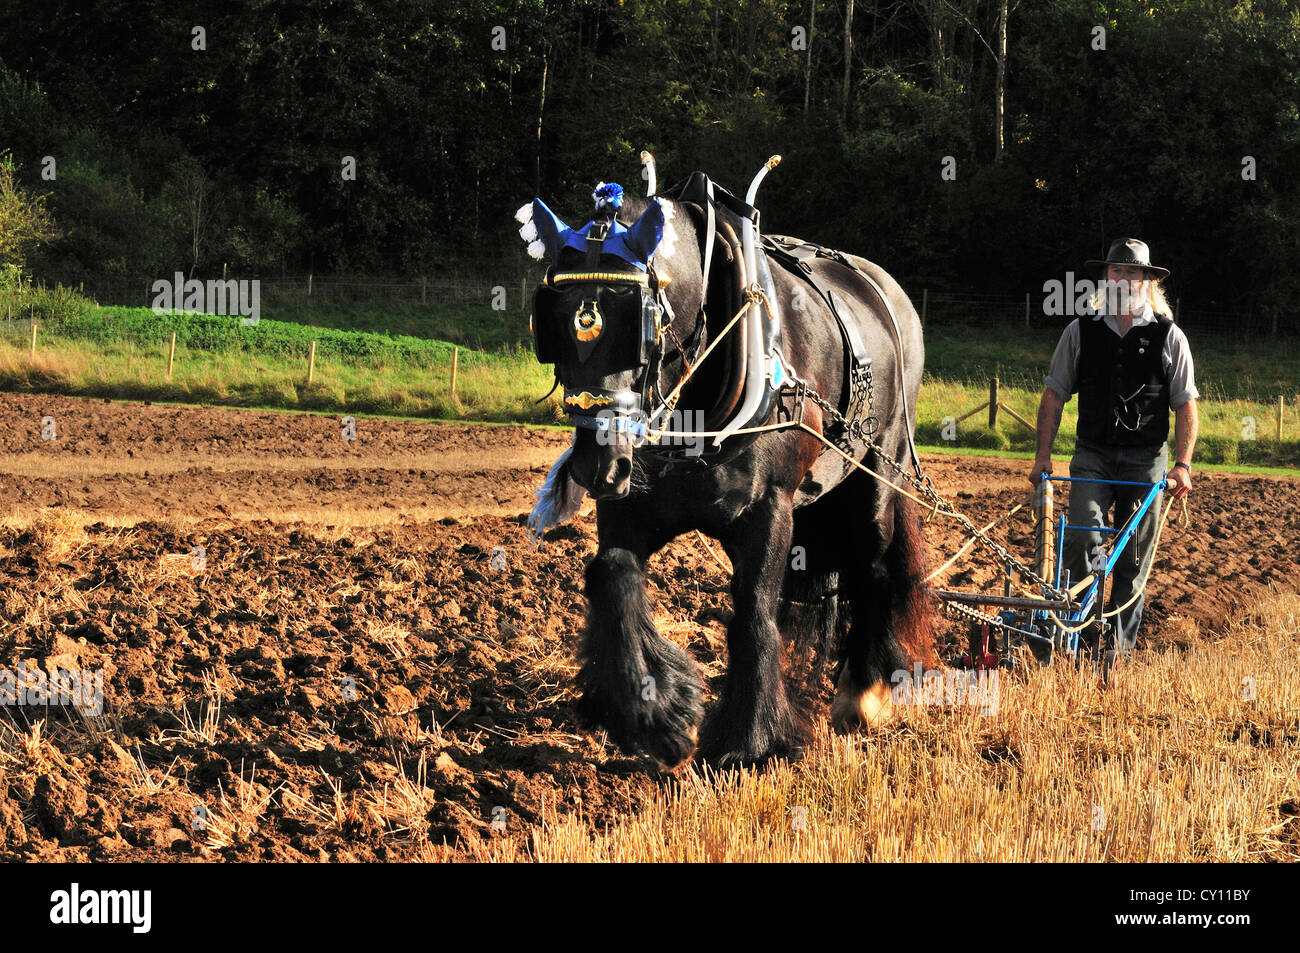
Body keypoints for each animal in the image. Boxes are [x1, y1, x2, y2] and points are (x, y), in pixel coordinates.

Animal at [517, 170, 933, 768]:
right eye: (551, 321)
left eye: (637, 320)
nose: (596, 465)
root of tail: (890, 294)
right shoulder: (632, 504)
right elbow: (613, 576)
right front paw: (657, 716)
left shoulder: (769, 508)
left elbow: (753, 611)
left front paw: (750, 741)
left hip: (878, 472)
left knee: (871, 565)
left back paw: (863, 694)